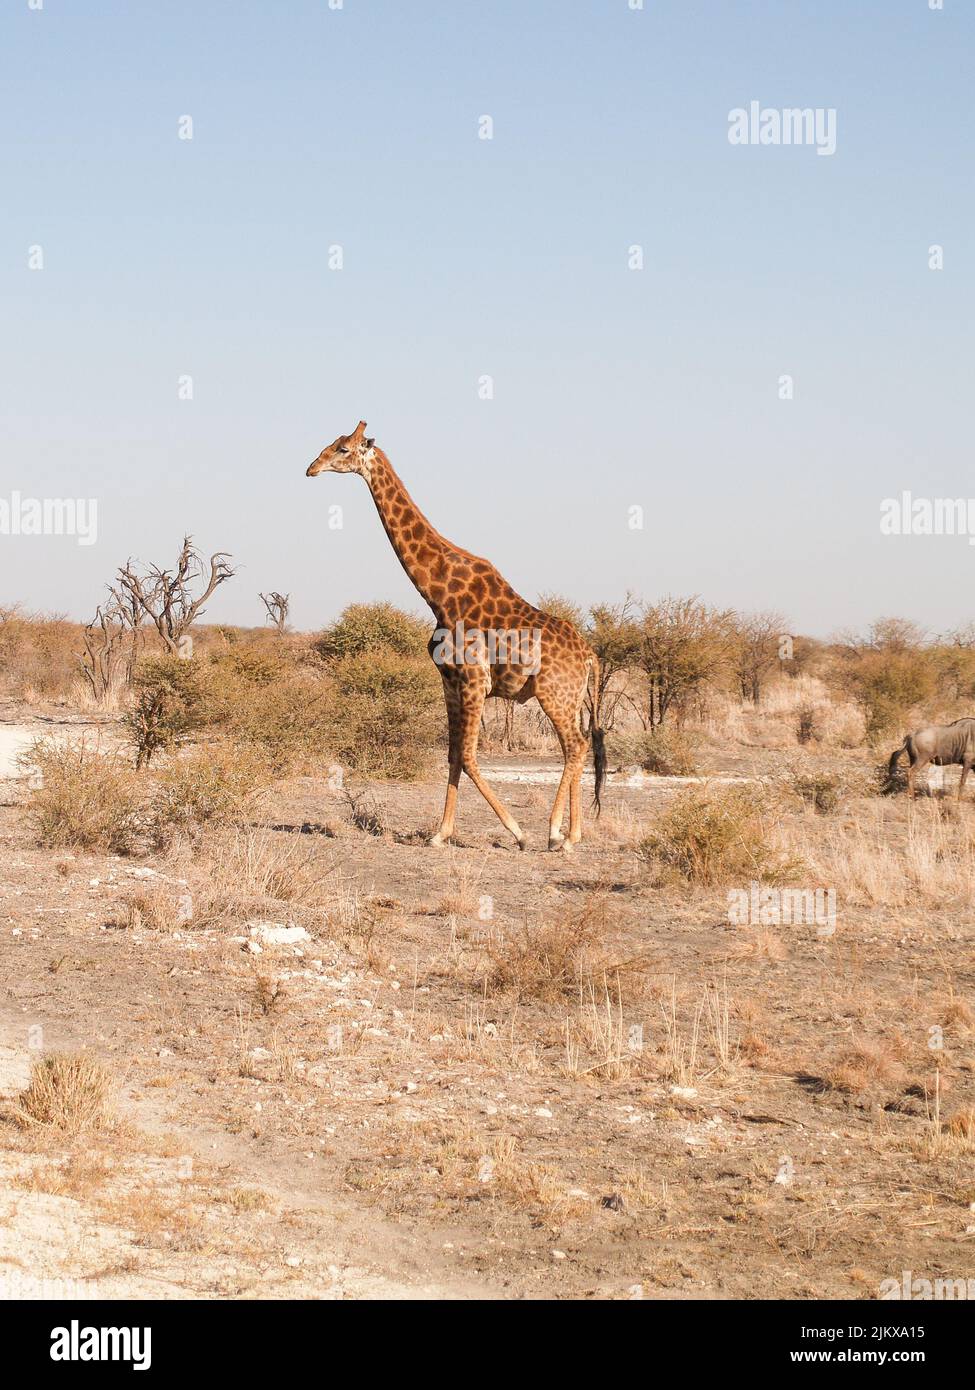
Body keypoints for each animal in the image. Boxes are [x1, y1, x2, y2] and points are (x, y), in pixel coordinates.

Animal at [307, 422, 606, 851]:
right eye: (331, 445)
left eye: (343, 449)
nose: (311, 468)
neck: (437, 595)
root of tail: (589, 655)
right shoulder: (449, 681)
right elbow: (451, 756)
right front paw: (439, 834)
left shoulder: (474, 679)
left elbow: (467, 756)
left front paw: (517, 833)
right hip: (569, 697)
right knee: (576, 746)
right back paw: (562, 834)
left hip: (555, 694)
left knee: (576, 746)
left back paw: (561, 835)